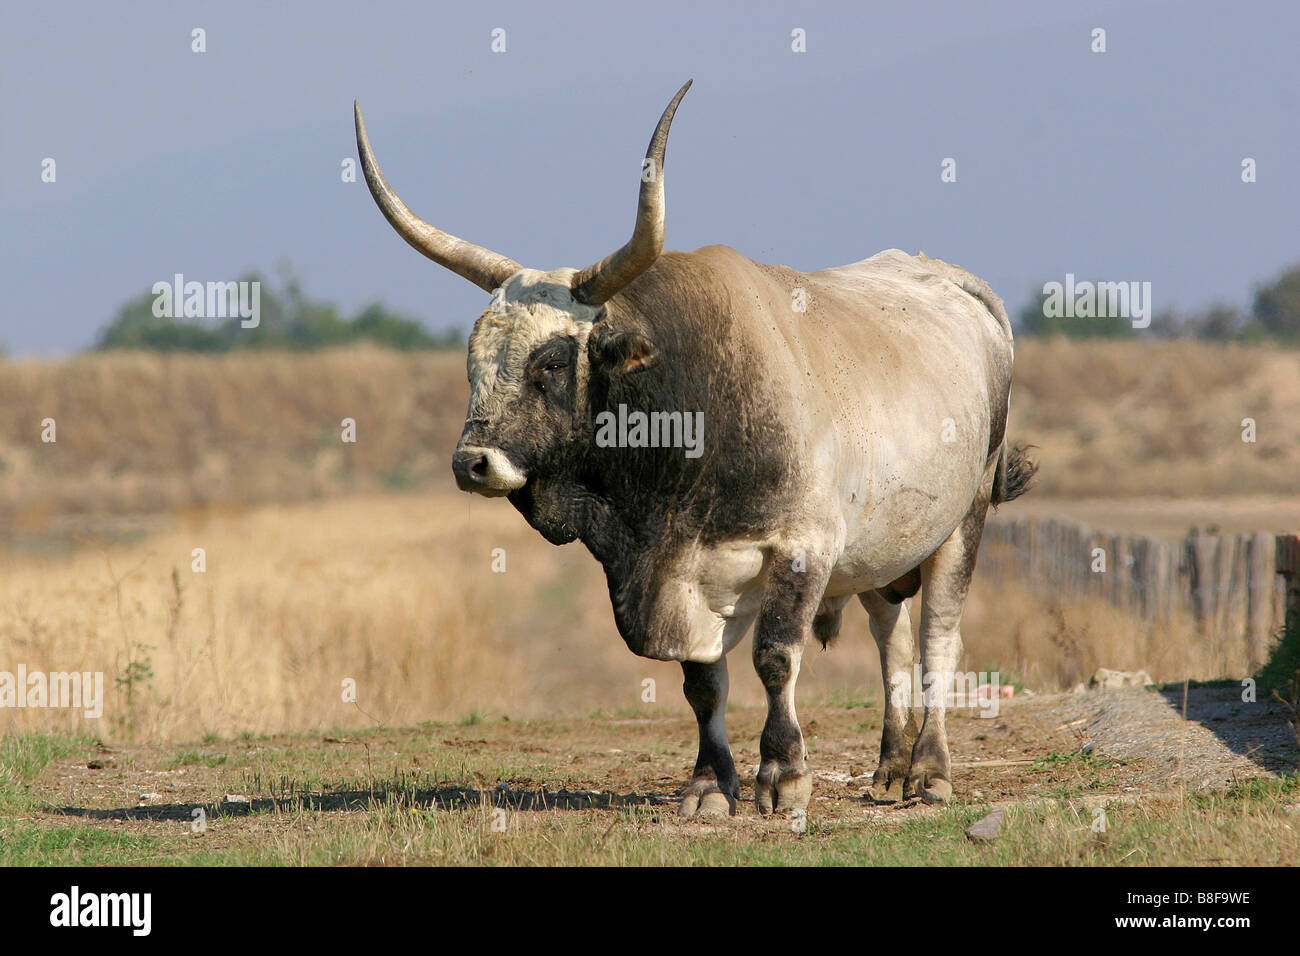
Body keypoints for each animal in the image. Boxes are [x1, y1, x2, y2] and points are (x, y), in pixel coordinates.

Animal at [354, 80, 1036, 818]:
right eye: (472, 364)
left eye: (552, 364)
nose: (471, 464)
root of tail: (951, 279)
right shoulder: (682, 571)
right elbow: (703, 683)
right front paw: (711, 784)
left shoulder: (803, 548)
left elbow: (775, 658)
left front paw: (783, 775)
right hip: (886, 541)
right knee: (893, 634)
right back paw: (888, 765)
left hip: (963, 521)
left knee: (939, 638)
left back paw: (929, 771)